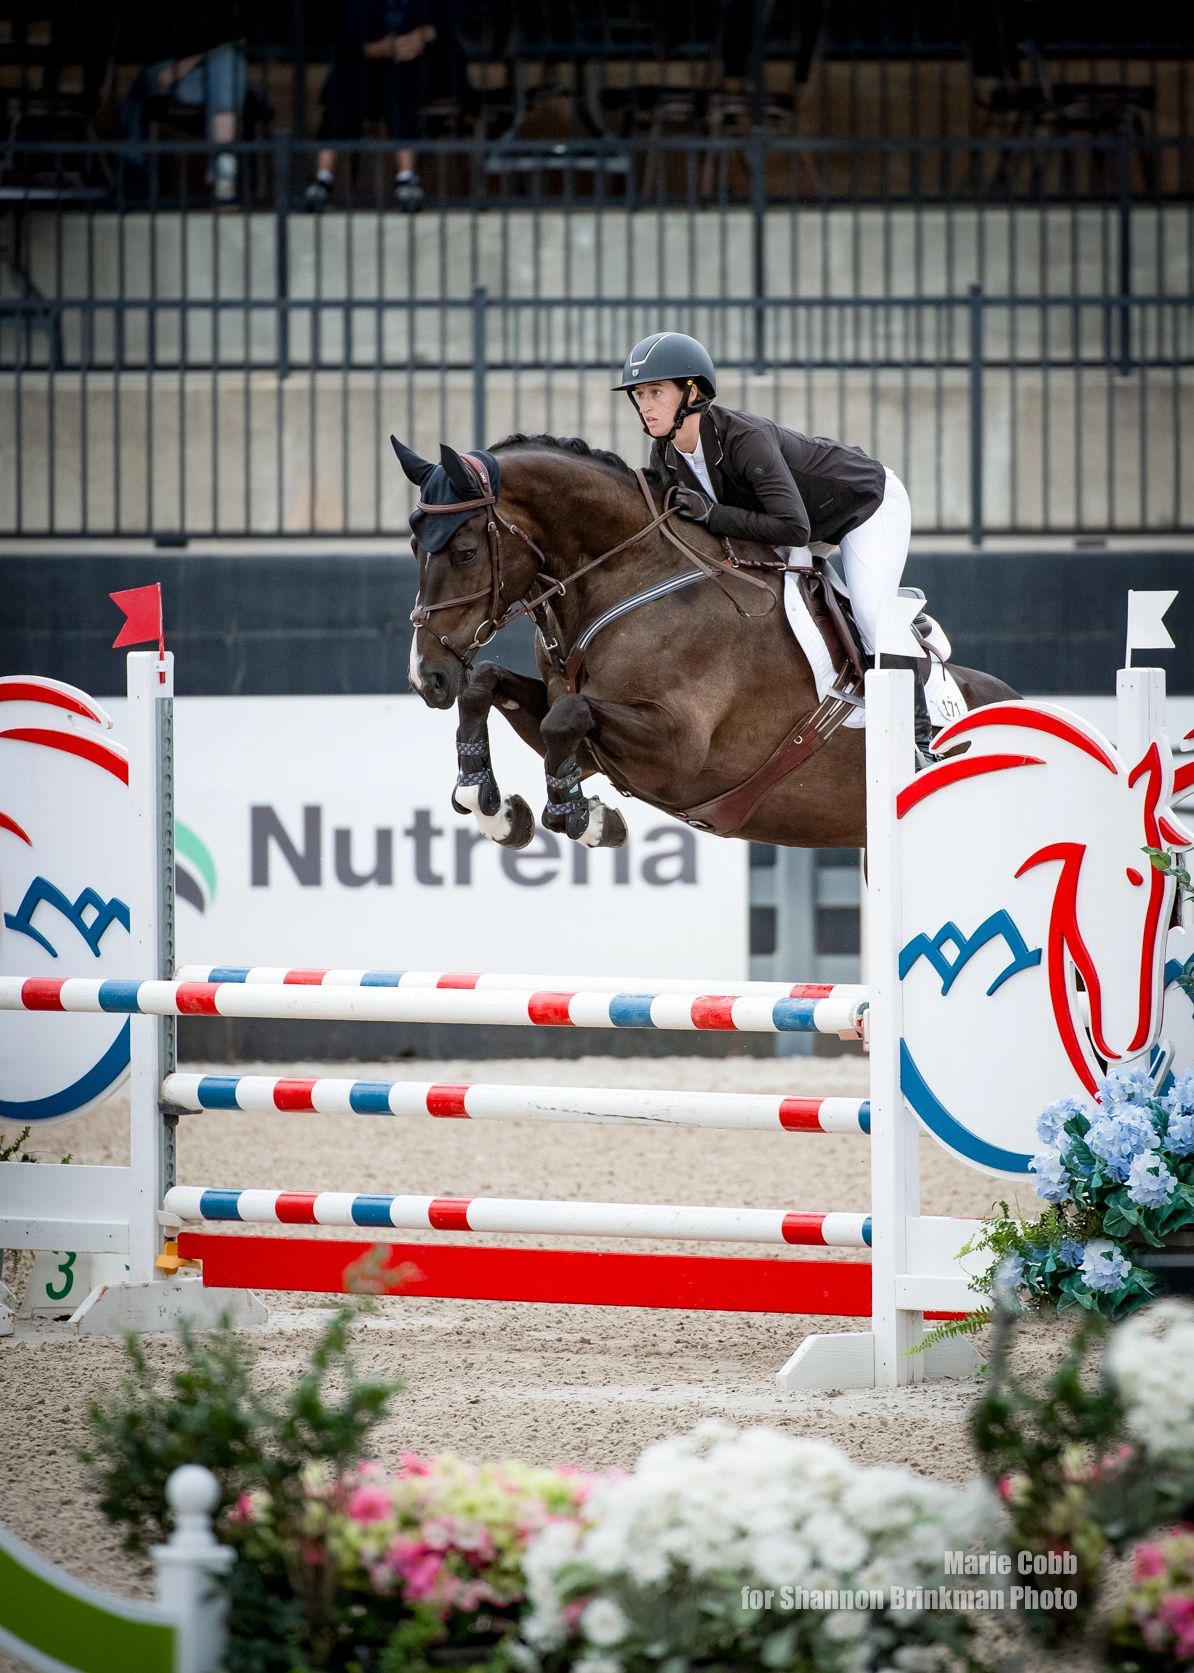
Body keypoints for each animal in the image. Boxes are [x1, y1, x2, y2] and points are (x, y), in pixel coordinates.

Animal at [393, 433, 1018, 852]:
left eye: (465, 553)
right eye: (414, 548)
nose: (427, 679)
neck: (631, 574)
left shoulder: (678, 751)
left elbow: (566, 717)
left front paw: (582, 818)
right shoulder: (589, 740)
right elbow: (491, 685)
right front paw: (490, 805)